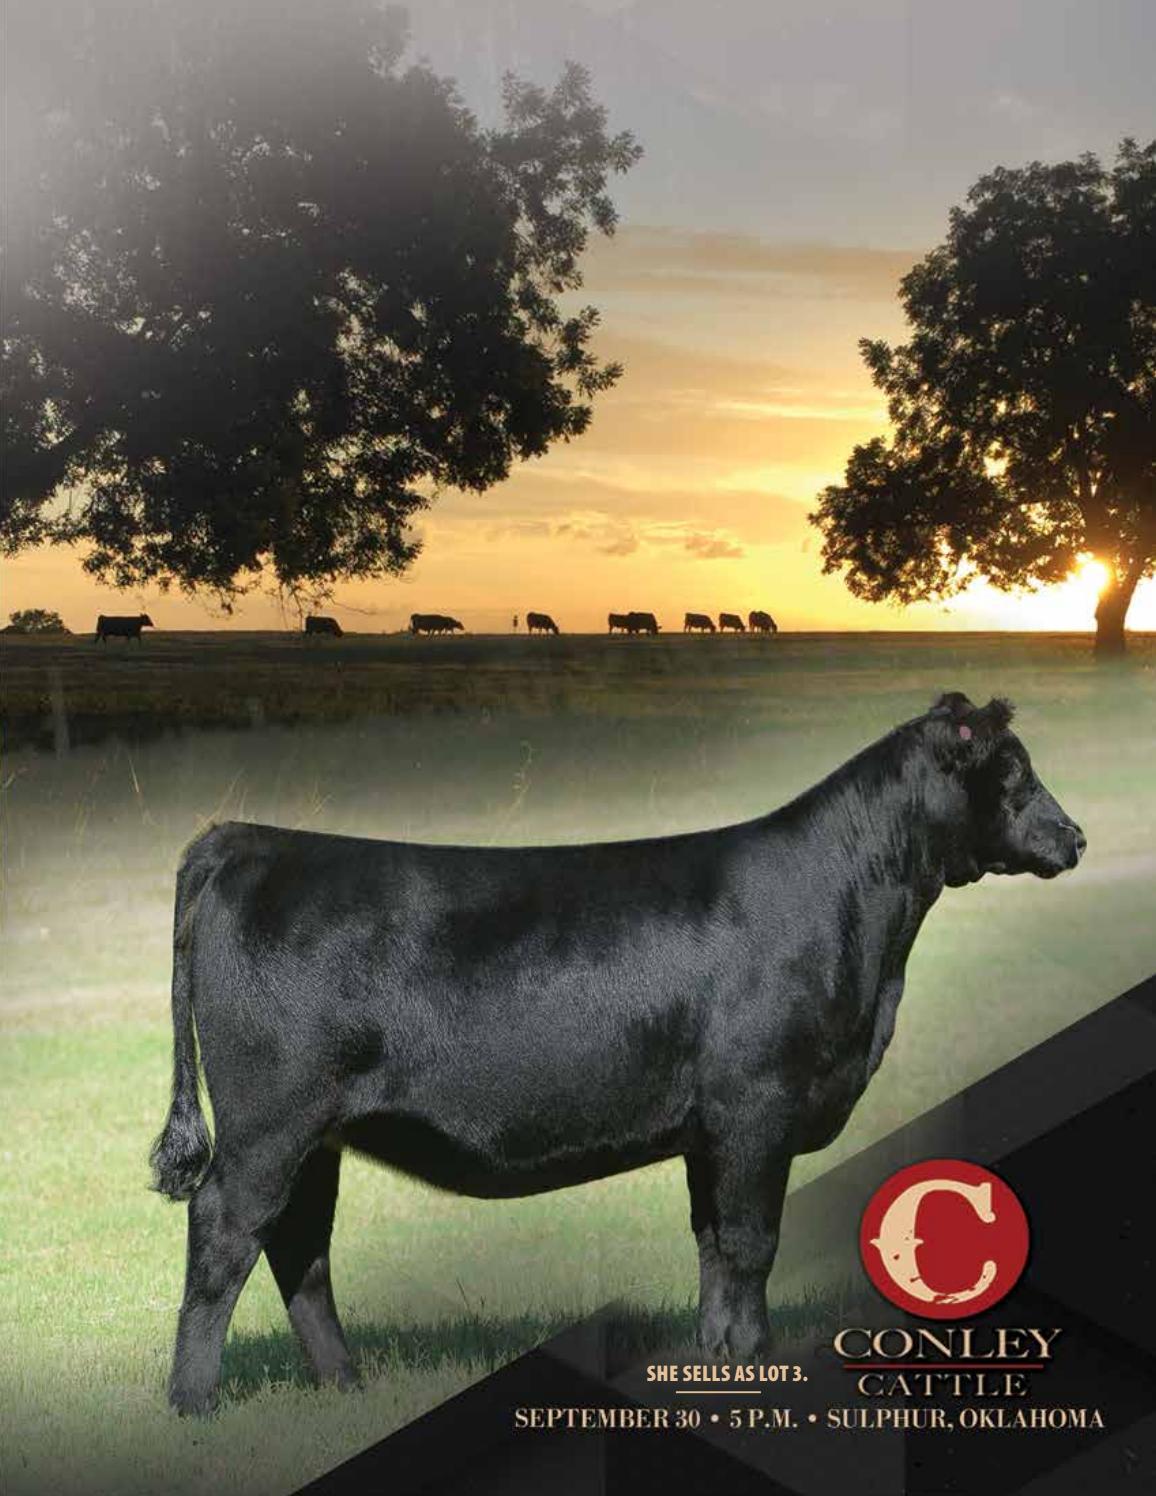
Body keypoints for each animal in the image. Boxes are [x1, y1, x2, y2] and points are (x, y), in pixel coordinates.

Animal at [151, 691, 1084, 1416]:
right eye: (1014, 772)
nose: (1074, 837)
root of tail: (247, 836)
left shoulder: (713, 1129)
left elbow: (713, 1243)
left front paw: (716, 1357)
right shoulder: (758, 1105)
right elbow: (753, 1241)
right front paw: (757, 1358)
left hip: (319, 1134)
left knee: (299, 1244)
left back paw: (346, 1386)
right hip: (271, 1120)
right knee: (226, 1227)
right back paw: (193, 1402)